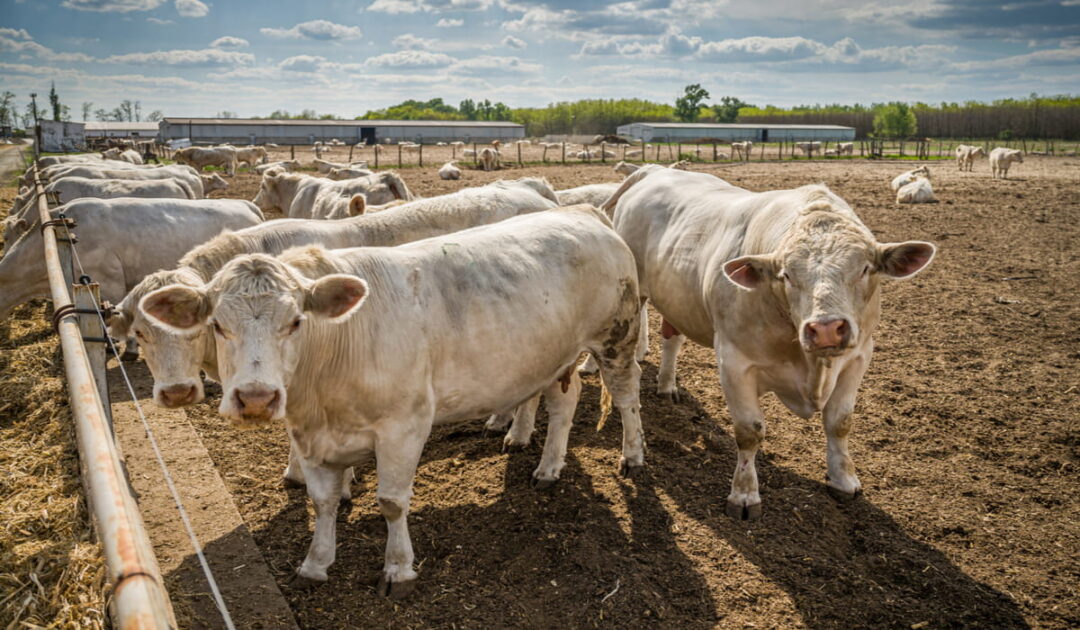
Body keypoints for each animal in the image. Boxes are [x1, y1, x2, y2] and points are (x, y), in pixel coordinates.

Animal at [137, 204, 646, 595]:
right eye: (218, 325)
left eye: (296, 321)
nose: (257, 397)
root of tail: (580, 210)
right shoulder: (310, 436)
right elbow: (322, 503)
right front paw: (315, 563)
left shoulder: (404, 425)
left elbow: (392, 502)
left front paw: (399, 568)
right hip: (555, 356)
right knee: (564, 401)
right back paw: (547, 466)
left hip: (616, 338)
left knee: (626, 395)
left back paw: (633, 455)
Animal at [600, 165, 935, 519]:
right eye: (786, 274)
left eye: (865, 269)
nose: (827, 329)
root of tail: (655, 169)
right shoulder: (734, 361)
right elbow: (749, 432)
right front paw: (744, 495)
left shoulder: (858, 356)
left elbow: (840, 422)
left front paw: (844, 480)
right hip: (635, 291)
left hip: (676, 299)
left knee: (672, 337)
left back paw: (667, 385)